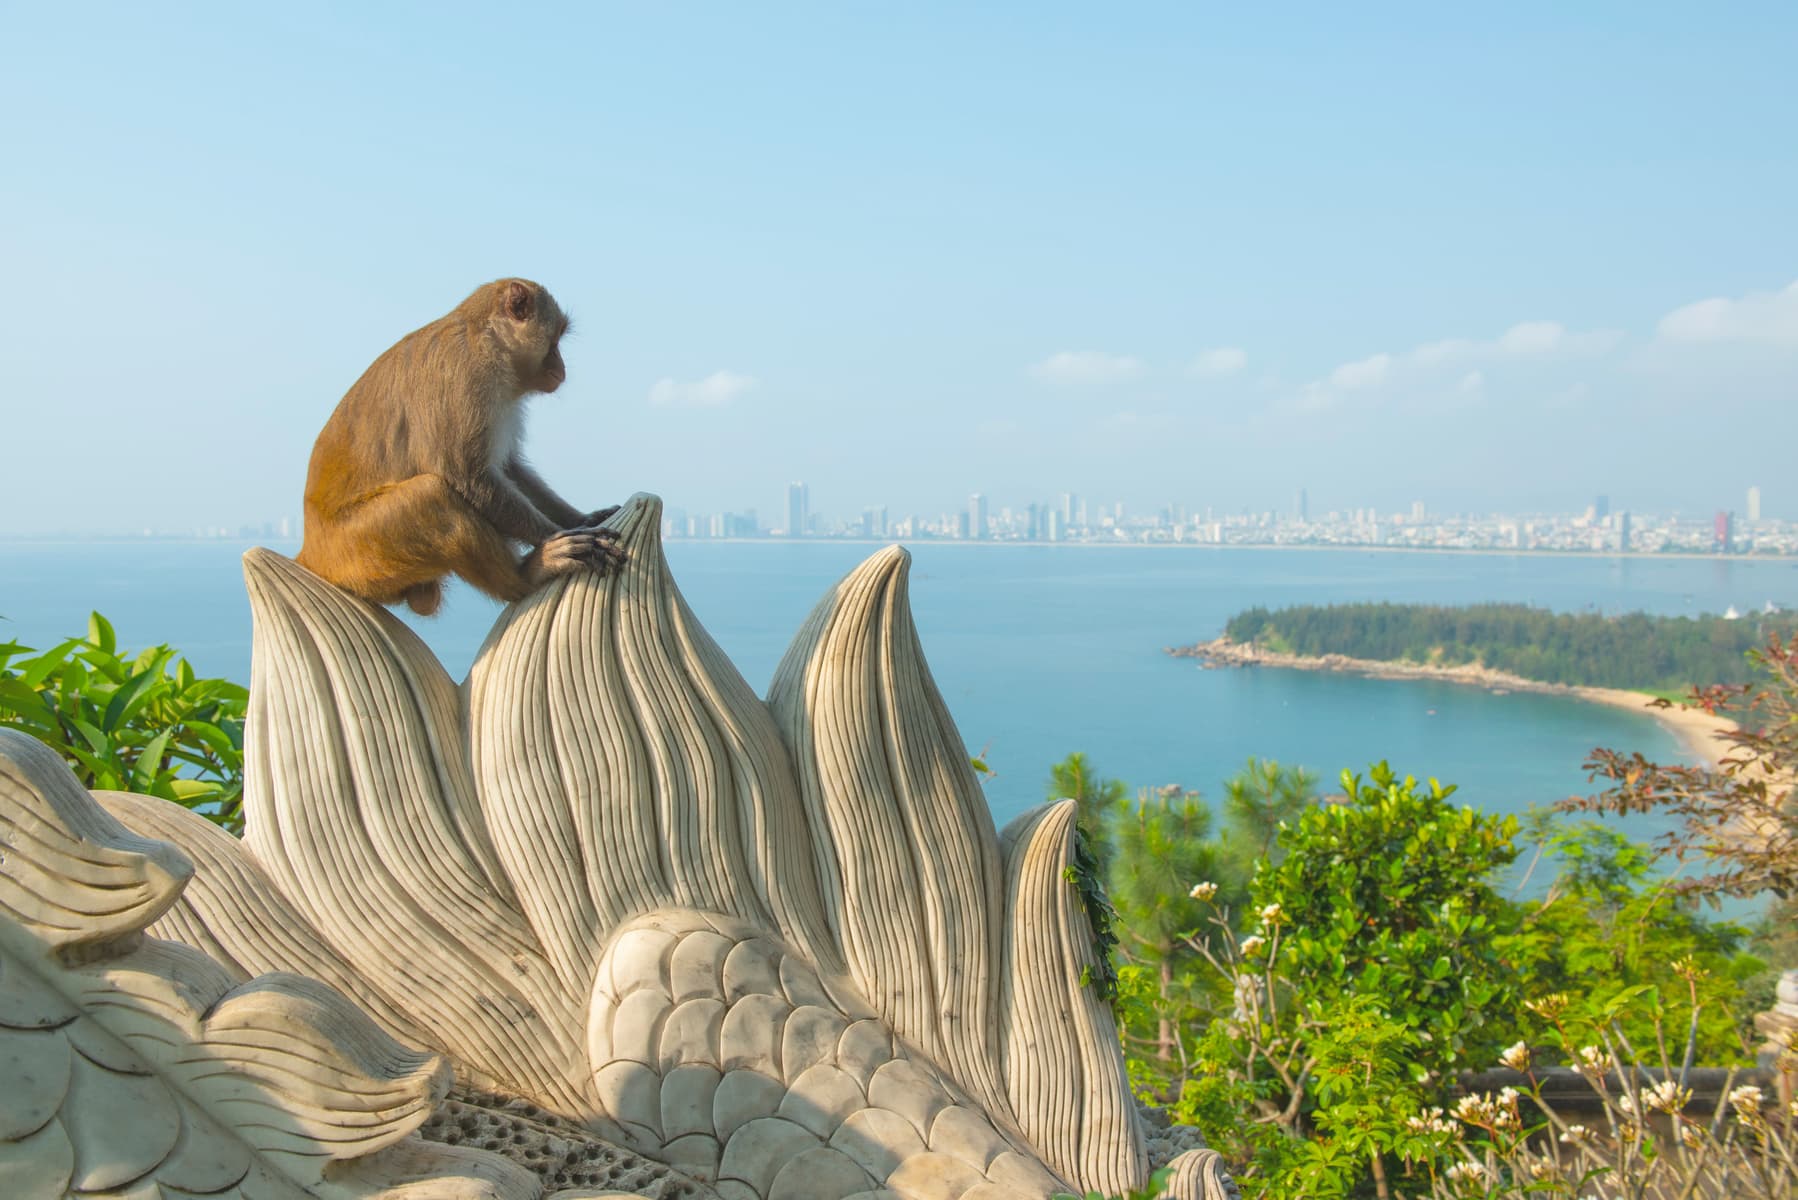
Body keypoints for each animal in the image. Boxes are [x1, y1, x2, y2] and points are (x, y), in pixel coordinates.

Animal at [296, 278, 623, 616]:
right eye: (554, 340)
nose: (562, 368)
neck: (484, 337)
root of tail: (311, 554)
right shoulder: (468, 377)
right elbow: (469, 475)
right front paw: (556, 534)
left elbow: (508, 467)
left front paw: (580, 519)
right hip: (358, 550)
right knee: (430, 494)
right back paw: (527, 575)